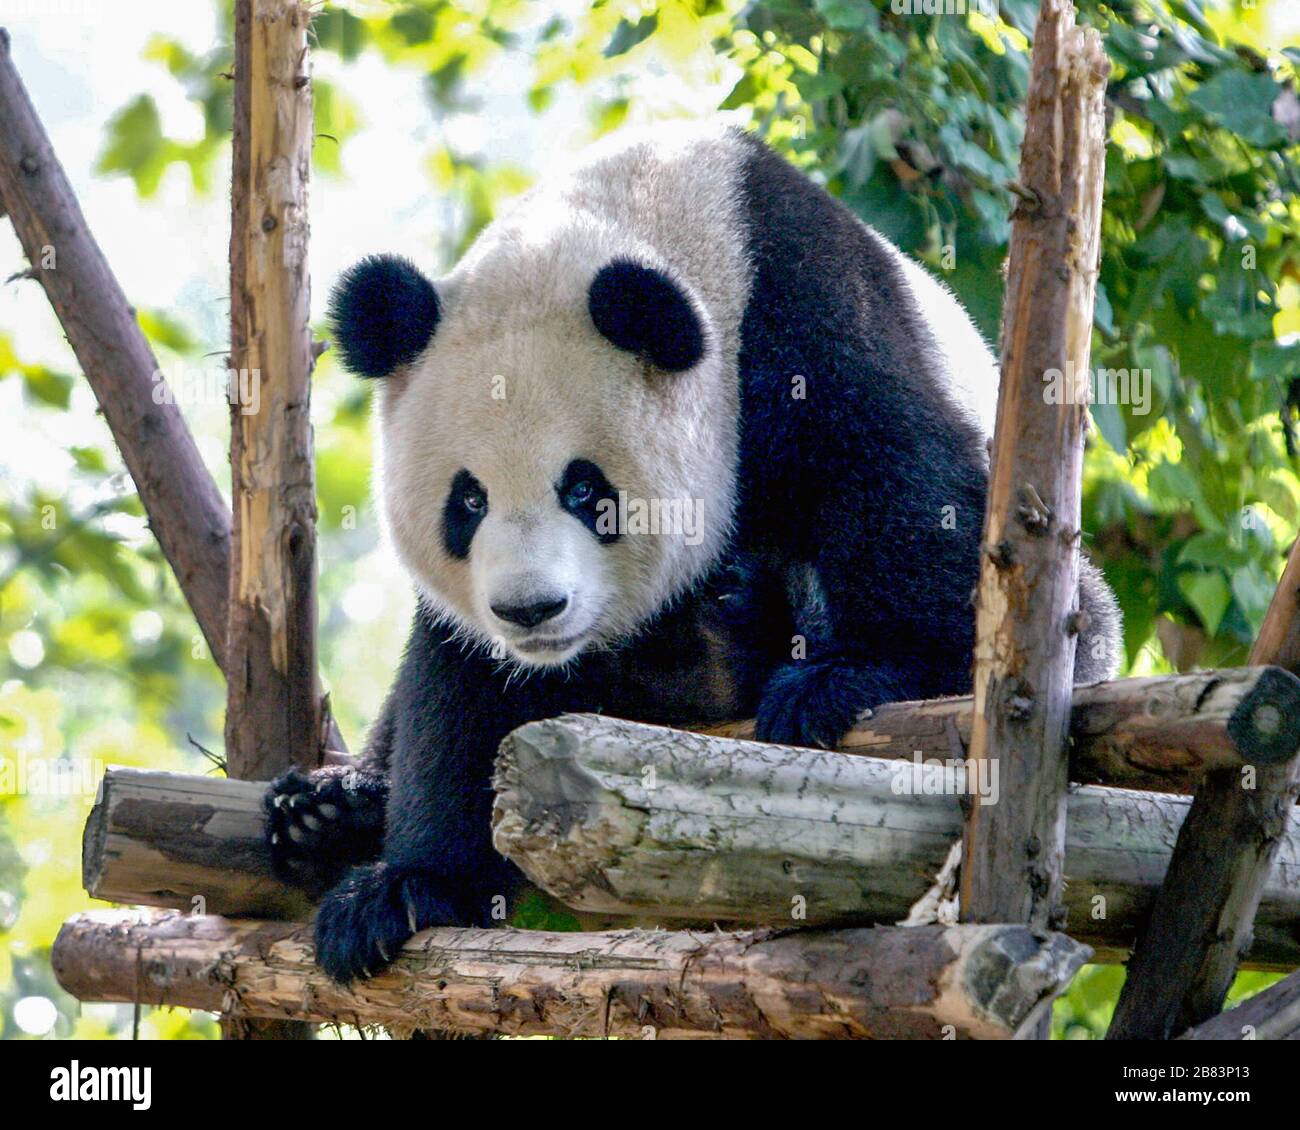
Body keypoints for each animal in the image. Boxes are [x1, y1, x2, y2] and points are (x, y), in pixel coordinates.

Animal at [266, 122, 1122, 984]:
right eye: (467, 501)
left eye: (585, 489)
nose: (533, 609)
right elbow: (457, 686)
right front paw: (402, 891)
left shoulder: (807, 307)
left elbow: (901, 485)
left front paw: (853, 674)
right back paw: (325, 810)